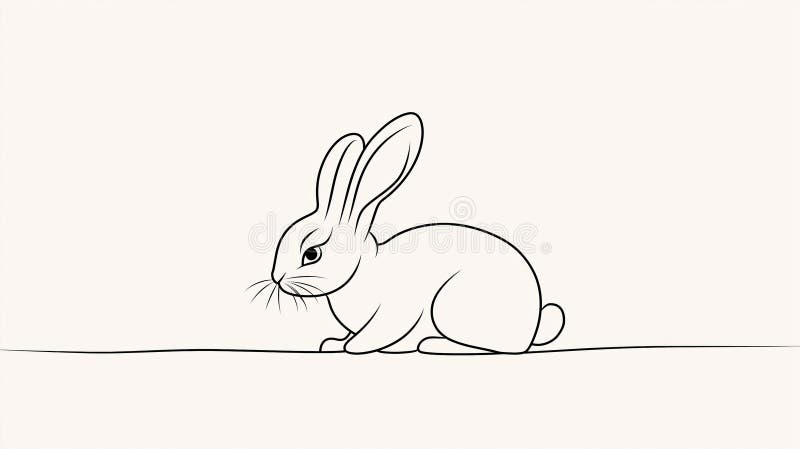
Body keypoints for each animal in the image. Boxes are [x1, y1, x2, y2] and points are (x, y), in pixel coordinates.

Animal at [269, 112, 565, 354]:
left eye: (311, 254)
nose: (277, 278)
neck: (362, 272)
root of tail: (532, 327)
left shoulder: (396, 311)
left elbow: (381, 332)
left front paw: (353, 347)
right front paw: (333, 344)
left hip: (450, 308)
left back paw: (436, 345)